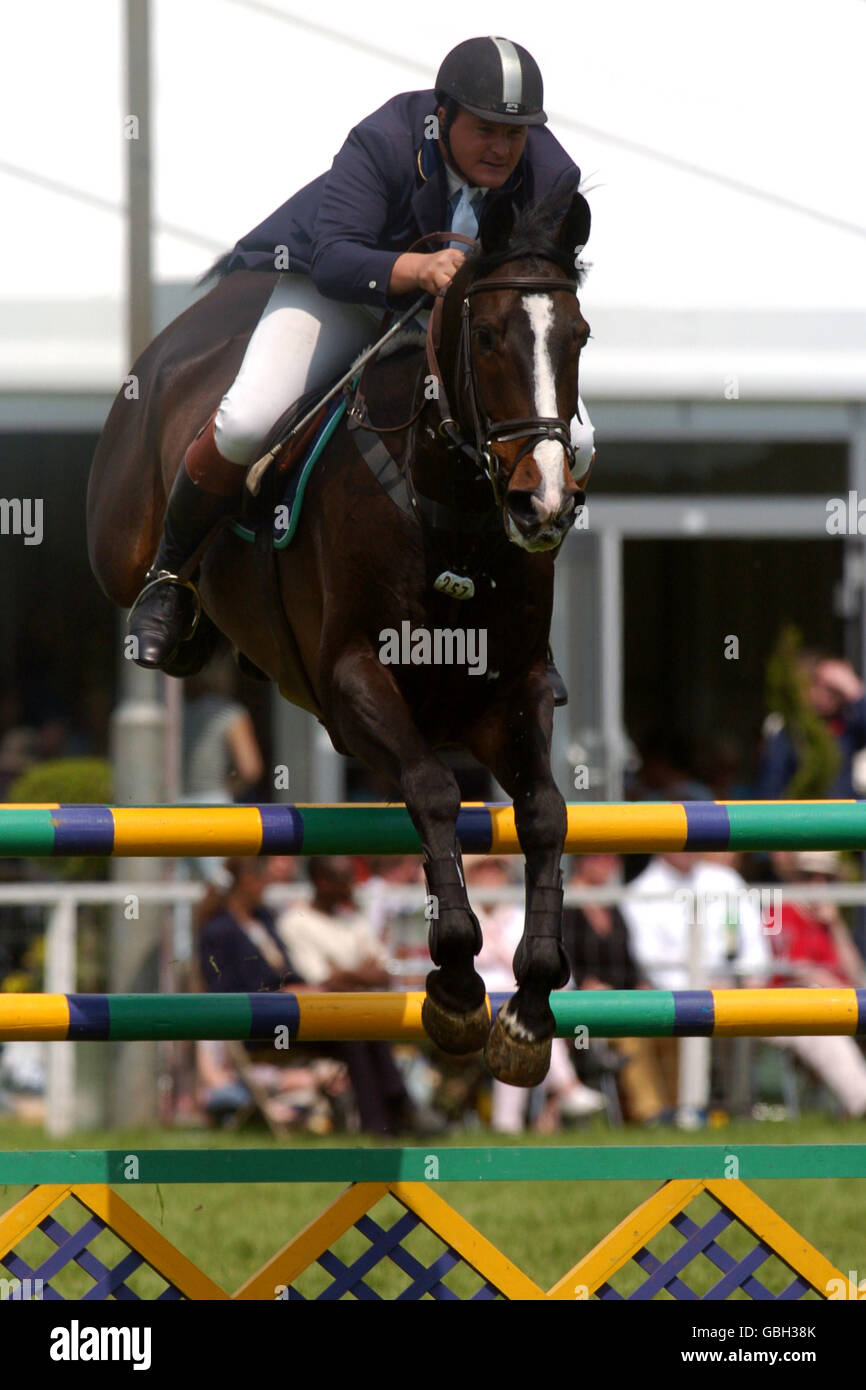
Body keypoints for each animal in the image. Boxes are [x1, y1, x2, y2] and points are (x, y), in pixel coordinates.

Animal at [87, 185, 592, 1086]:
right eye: (489, 337)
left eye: (579, 337)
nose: (543, 504)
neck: (452, 514)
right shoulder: (354, 682)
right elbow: (433, 790)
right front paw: (455, 990)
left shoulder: (514, 693)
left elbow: (543, 813)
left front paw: (528, 1012)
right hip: (123, 531)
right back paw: (162, 618)